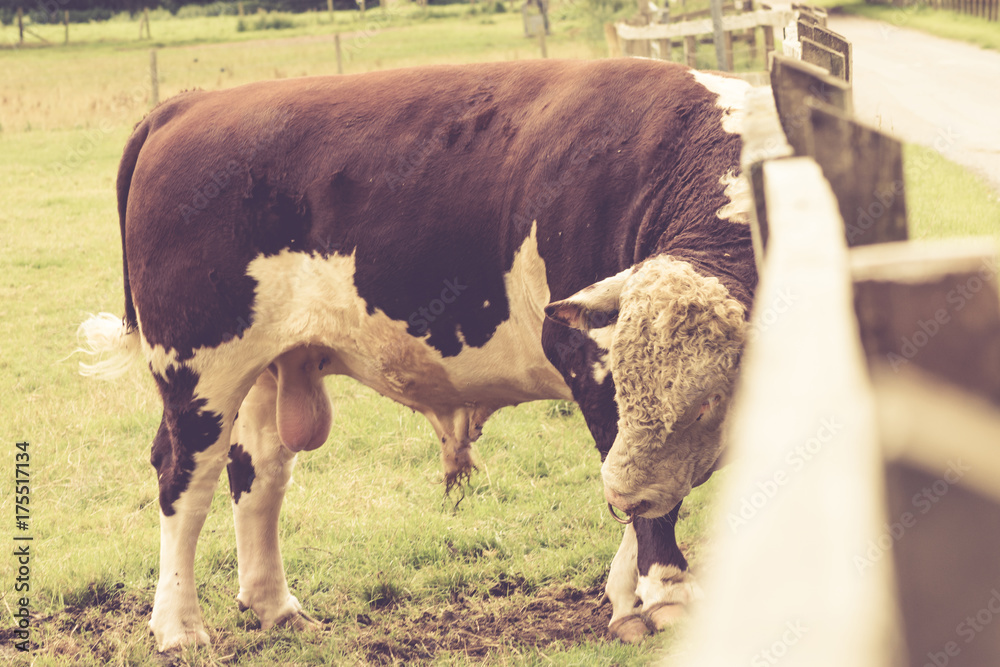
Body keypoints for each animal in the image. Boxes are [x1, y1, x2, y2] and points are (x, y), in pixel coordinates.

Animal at [78, 58, 756, 651]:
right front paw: (665, 593)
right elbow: (646, 489)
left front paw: (628, 596)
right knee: (183, 477)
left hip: (269, 364)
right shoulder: (583, 349)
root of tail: (187, 105)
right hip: (197, 368)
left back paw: (275, 608)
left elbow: (649, 478)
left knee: (258, 472)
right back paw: (178, 627)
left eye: (707, 402)